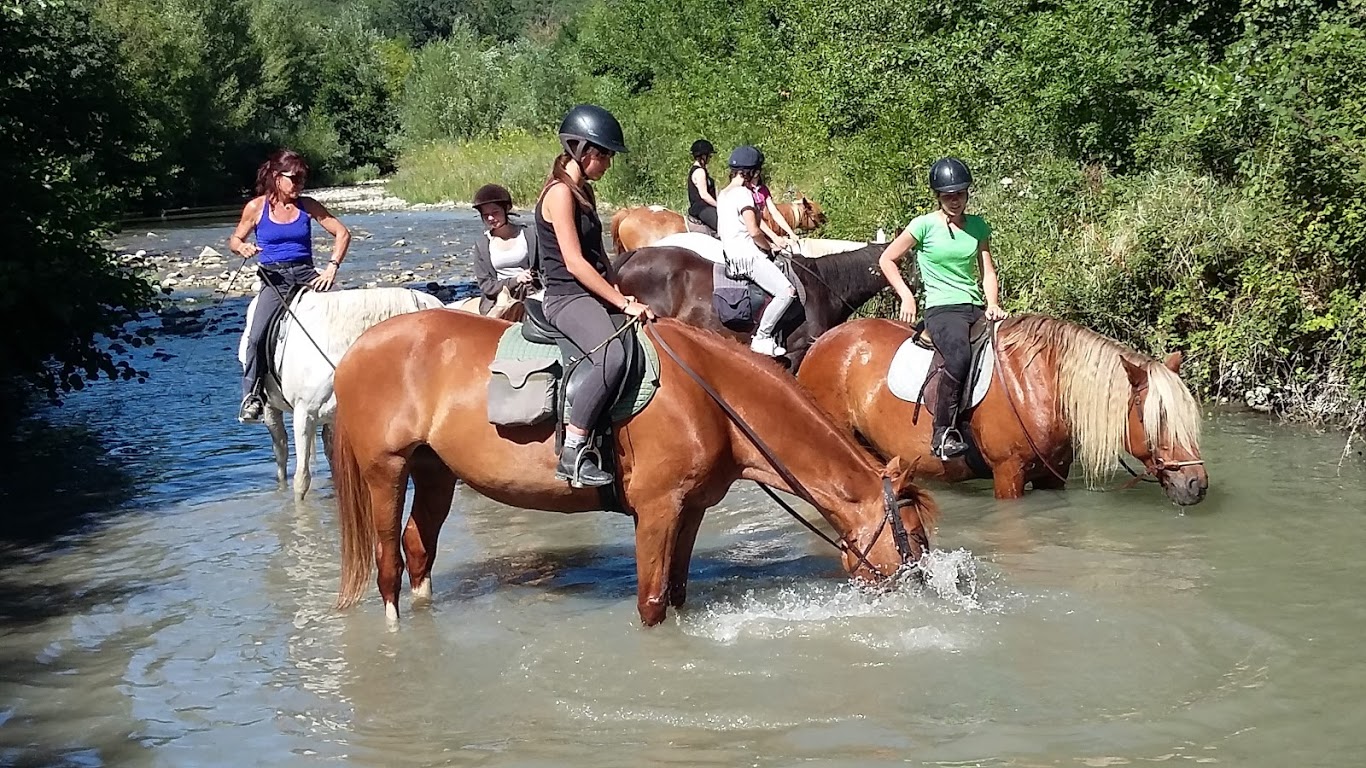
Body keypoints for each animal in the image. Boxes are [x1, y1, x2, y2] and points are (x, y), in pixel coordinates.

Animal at [328, 311, 939, 626]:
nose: (923, 588)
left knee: (417, 548)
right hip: (386, 470)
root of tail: (359, 346)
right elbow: (651, 603)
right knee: (388, 562)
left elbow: (677, 593)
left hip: (436, 472)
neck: (713, 399)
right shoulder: (658, 509)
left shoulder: (689, 511)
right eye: (912, 535)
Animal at [795, 315, 1209, 505]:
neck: (1042, 385)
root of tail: (821, 342)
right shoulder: (1008, 475)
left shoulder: (1053, 476)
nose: (1197, 484)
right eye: (1156, 419)